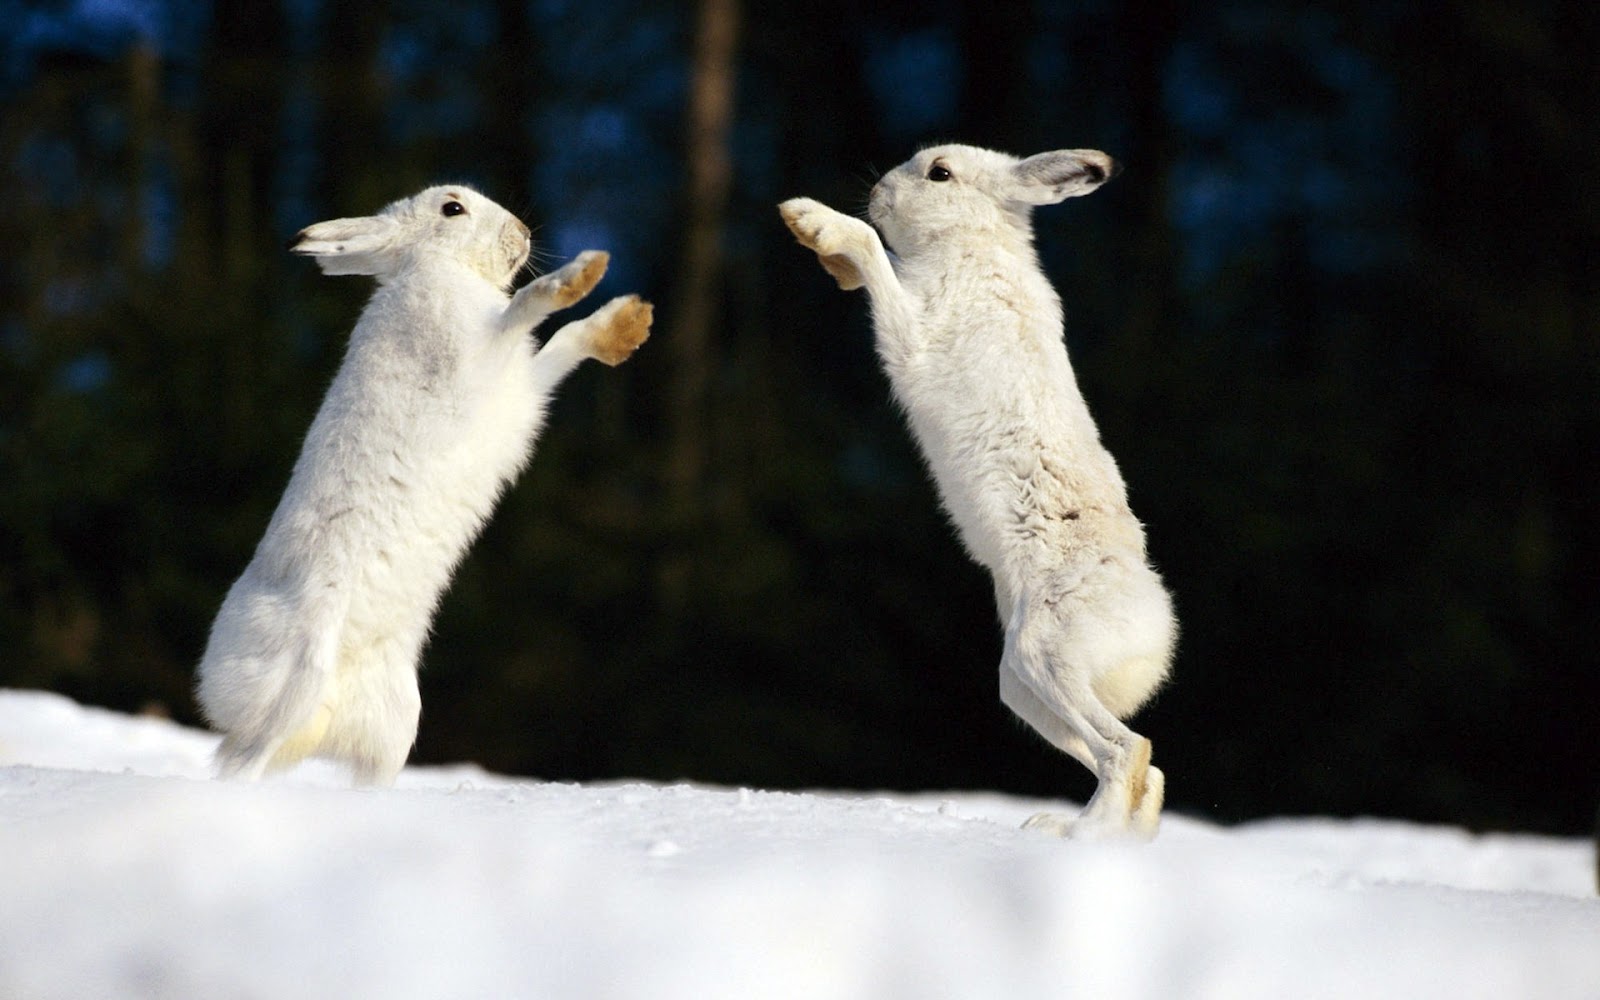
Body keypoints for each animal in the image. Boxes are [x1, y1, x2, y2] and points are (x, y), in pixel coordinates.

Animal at [196, 184, 652, 786]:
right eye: (452, 208)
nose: (522, 233)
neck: (435, 265)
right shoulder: (474, 357)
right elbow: (524, 307)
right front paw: (580, 274)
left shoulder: (521, 386)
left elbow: (562, 343)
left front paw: (628, 324)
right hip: (294, 682)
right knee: (244, 761)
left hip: (397, 720)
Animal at [780, 144, 1176, 839]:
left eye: (939, 173)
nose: (879, 194)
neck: (974, 242)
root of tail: (1156, 629)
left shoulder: (915, 334)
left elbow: (875, 257)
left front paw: (815, 221)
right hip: (1023, 688)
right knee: (1140, 767)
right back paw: (1078, 834)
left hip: (1047, 655)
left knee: (1129, 752)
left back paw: (1080, 836)